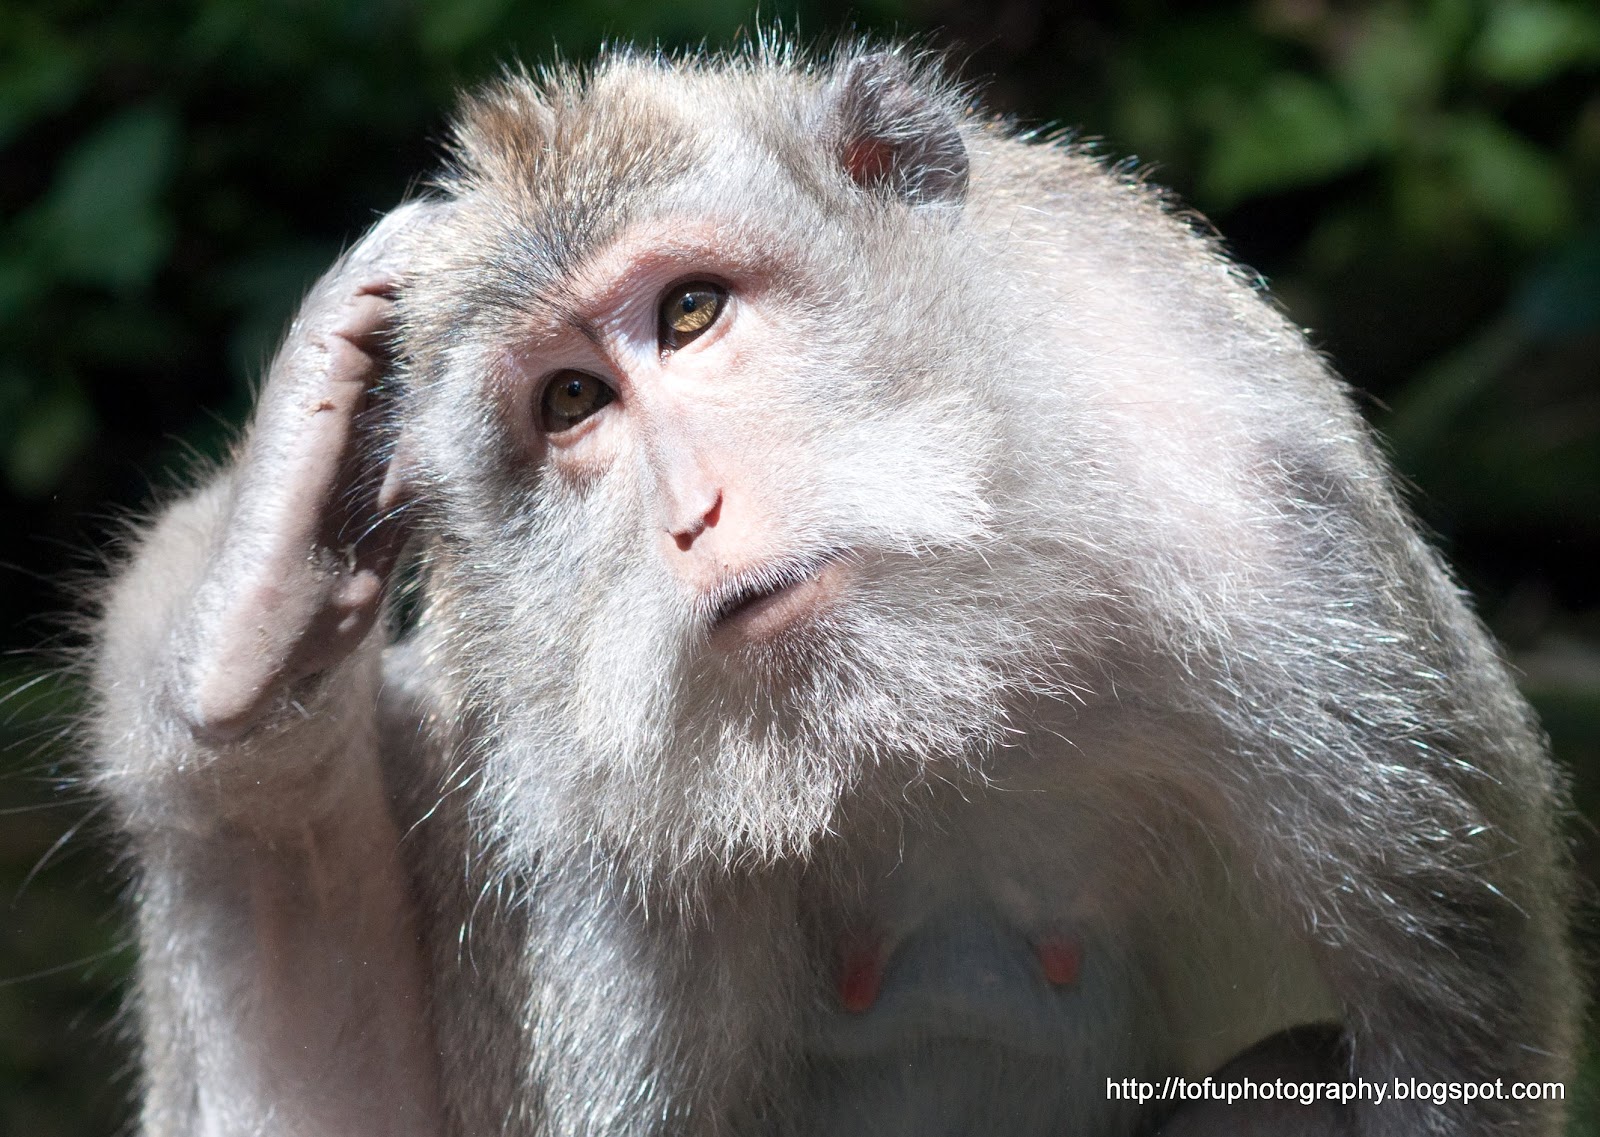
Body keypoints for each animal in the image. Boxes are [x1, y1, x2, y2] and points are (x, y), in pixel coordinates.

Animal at [86, 43, 1578, 1137]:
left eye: (691, 312)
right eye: (571, 402)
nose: (694, 516)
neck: (934, 701)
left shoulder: (1273, 548)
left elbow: (1443, 1022)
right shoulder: (590, 842)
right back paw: (247, 642)